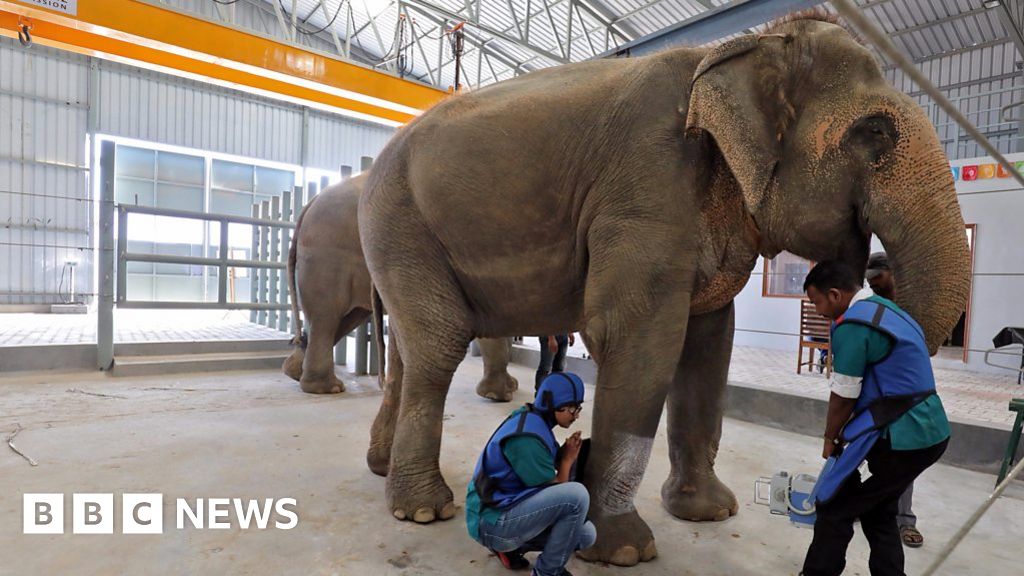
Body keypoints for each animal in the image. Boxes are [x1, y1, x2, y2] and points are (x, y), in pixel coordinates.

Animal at [281, 173, 519, 400]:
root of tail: (310, 204)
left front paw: (510, 388)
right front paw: (501, 395)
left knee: (347, 317)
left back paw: (294, 373)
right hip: (327, 256)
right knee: (327, 317)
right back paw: (326, 388)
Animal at [358, 13, 970, 566]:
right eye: (876, 132)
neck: (745, 48)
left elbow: (709, 346)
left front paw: (709, 513)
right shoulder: (647, 183)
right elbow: (636, 338)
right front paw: (625, 552)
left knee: (408, 351)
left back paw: (383, 471)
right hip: (400, 224)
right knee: (438, 346)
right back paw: (421, 511)